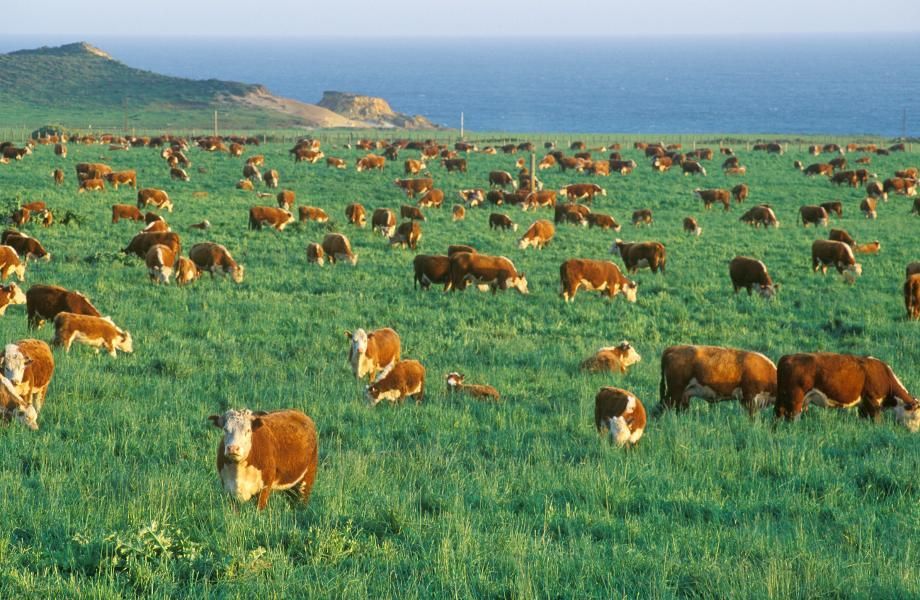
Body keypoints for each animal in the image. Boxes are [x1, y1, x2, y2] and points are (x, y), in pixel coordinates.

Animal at [774, 353, 918, 429]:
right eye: (916, 416)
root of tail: (787, 357)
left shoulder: (863, 405)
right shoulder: (872, 400)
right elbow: (877, 420)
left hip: (782, 398)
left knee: (778, 413)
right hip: (795, 400)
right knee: (793, 417)